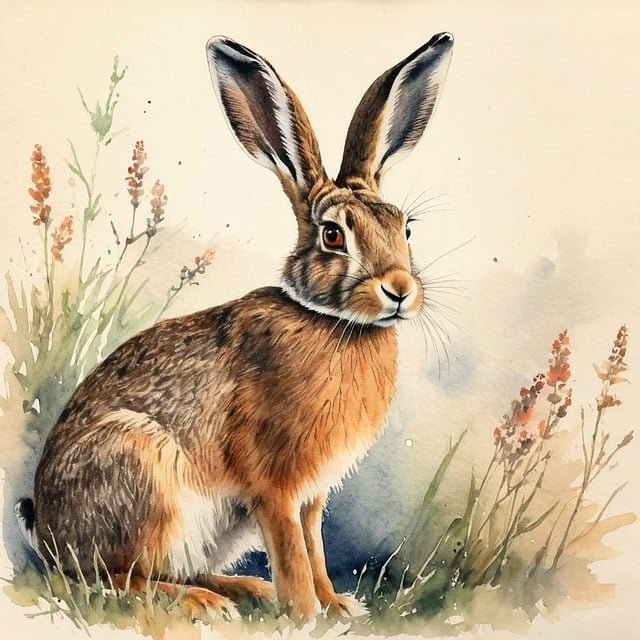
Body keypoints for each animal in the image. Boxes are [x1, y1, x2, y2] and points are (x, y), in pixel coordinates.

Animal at [17, 32, 454, 623]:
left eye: (404, 229)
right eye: (333, 235)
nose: (400, 289)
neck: (332, 322)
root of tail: (46, 532)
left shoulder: (312, 495)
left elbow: (314, 549)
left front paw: (337, 607)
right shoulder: (275, 488)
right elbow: (292, 554)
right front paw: (304, 615)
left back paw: (245, 590)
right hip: (140, 473)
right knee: (114, 579)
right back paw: (204, 602)